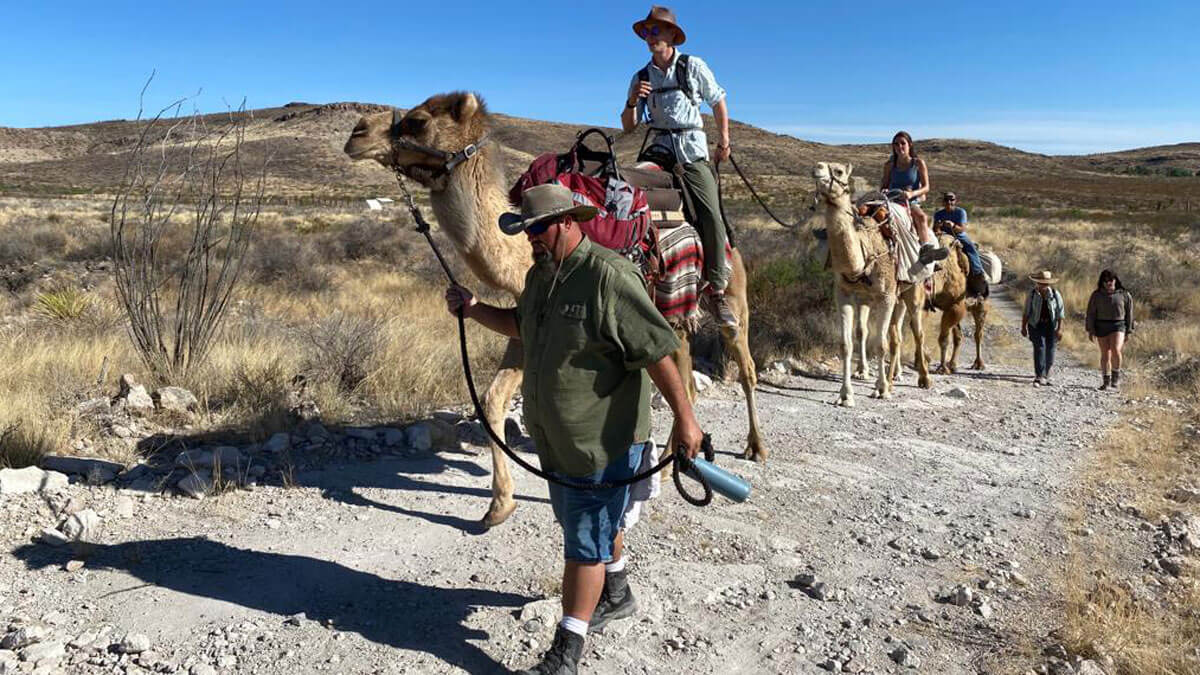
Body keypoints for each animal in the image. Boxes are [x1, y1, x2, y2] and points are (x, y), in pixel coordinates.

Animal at [343, 92, 764, 527]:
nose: (357, 133)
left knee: (744, 363)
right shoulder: (523, 314)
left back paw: (752, 448)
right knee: (684, 376)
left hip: (729, 291)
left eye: (418, 121)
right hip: (672, 312)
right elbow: (492, 399)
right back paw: (670, 466)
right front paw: (499, 505)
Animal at [812, 162, 930, 408]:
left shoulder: (885, 296)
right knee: (892, 333)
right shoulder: (844, 294)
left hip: (912, 290)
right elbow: (847, 343)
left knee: (916, 331)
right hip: (889, 298)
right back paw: (891, 374)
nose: (817, 168)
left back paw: (923, 379)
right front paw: (845, 394)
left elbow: (880, 343)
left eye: (838, 171)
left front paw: (881, 389)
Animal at [927, 234, 989, 372]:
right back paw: (953, 364)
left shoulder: (956, 305)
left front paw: (942, 368)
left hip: (981, 304)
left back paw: (979, 364)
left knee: (978, 333)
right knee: (959, 336)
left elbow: (943, 339)